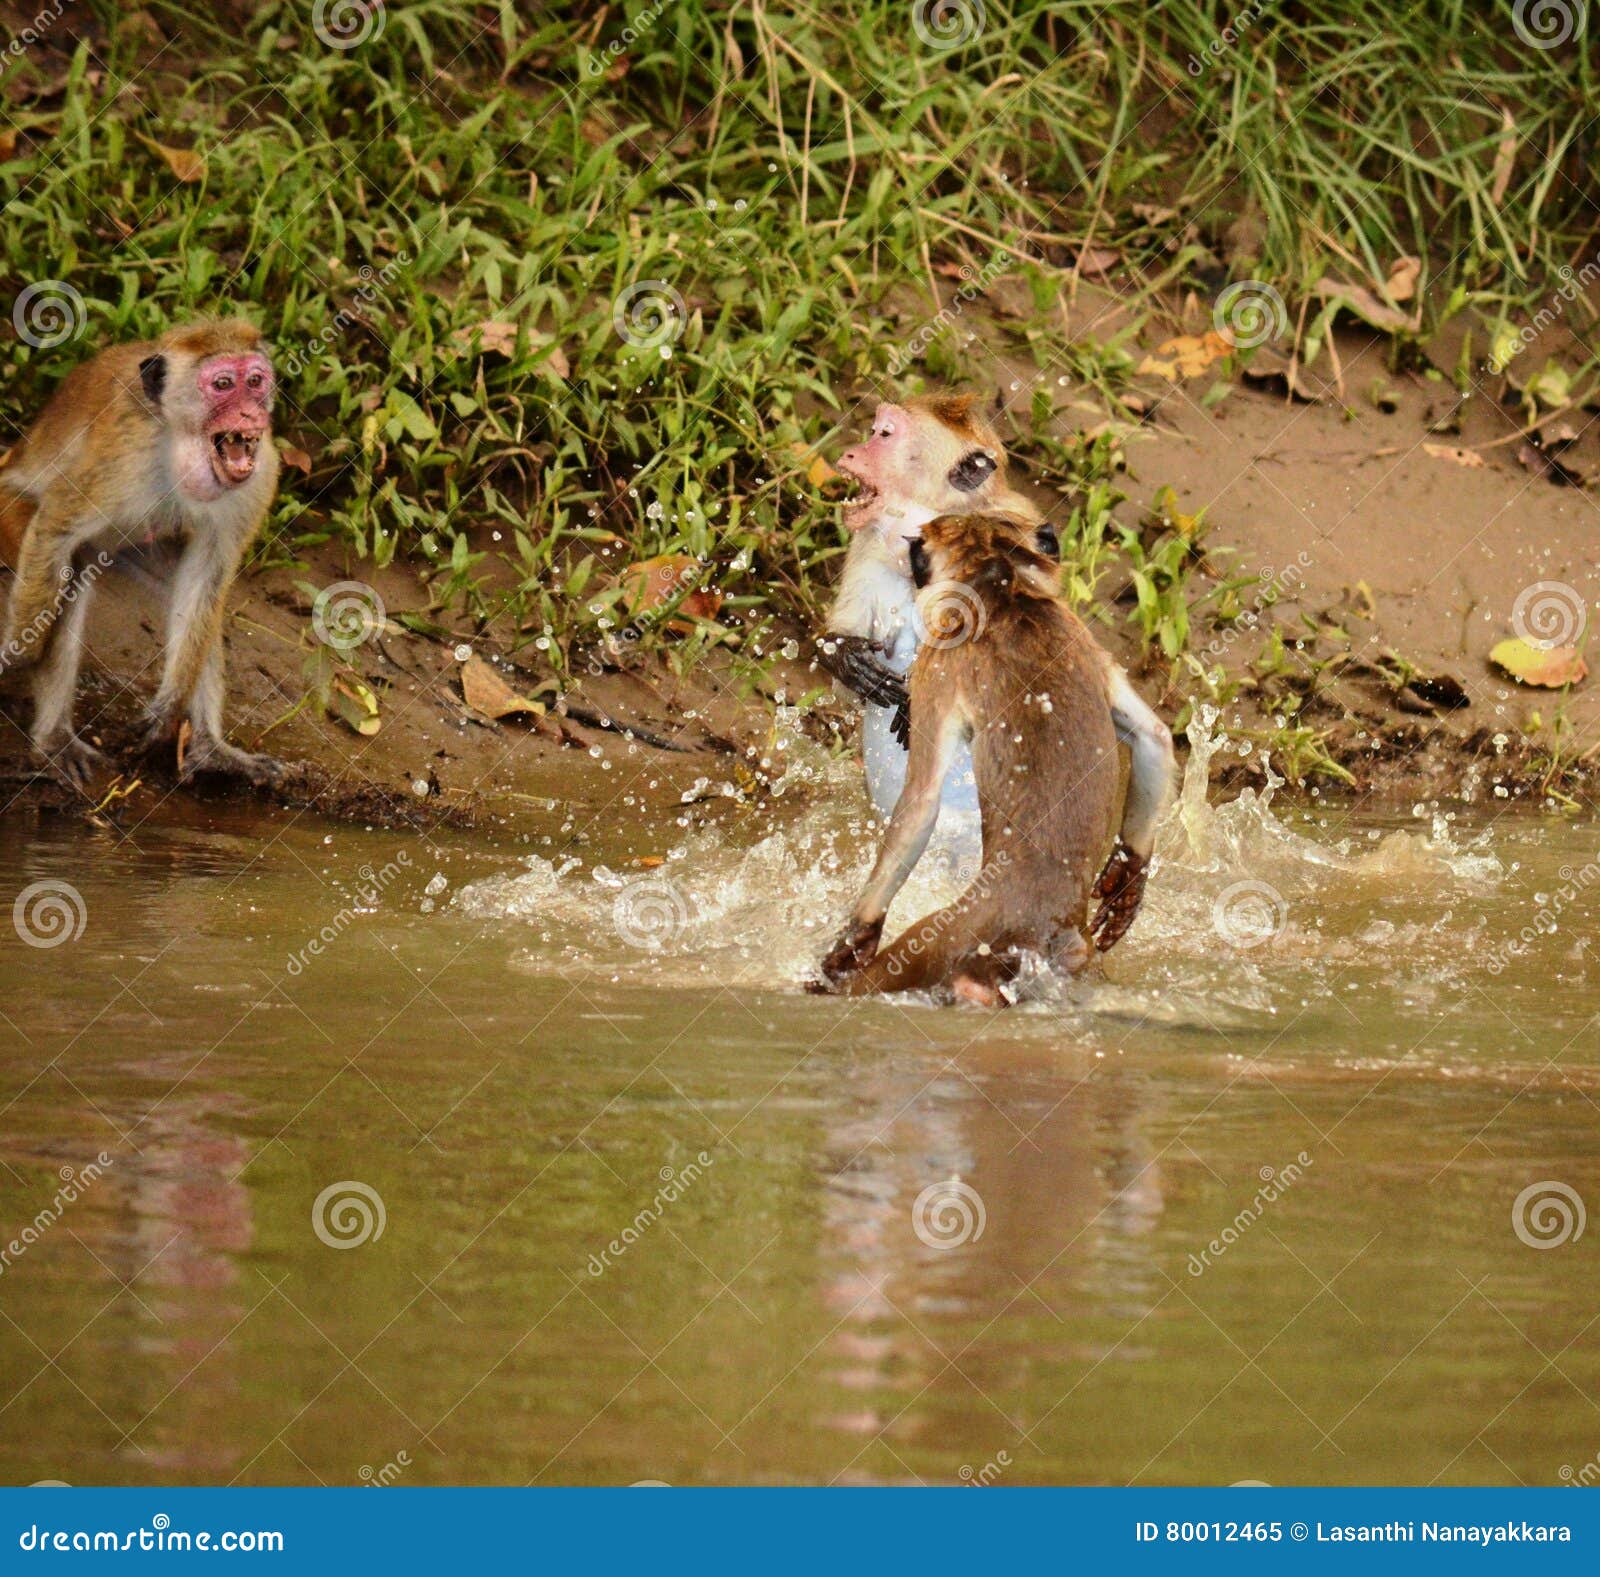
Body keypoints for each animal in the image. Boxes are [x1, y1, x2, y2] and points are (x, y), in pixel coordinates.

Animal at [0, 319, 283, 788]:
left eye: (256, 381)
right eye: (223, 384)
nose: (251, 414)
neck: (180, 442)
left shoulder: (259, 476)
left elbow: (206, 579)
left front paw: (169, 713)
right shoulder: (121, 457)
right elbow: (54, 530)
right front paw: (18, 655)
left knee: (201, 604)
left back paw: (209, 749)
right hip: (9, 513)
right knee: (68, 569)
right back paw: (54, 740)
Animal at [810, 510, 1122, 1006]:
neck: (1006, 597)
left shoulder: (940, 661)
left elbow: (920, 802)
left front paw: (855, 938)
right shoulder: (1077, 628)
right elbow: (1153, 734)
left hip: (941, 940)